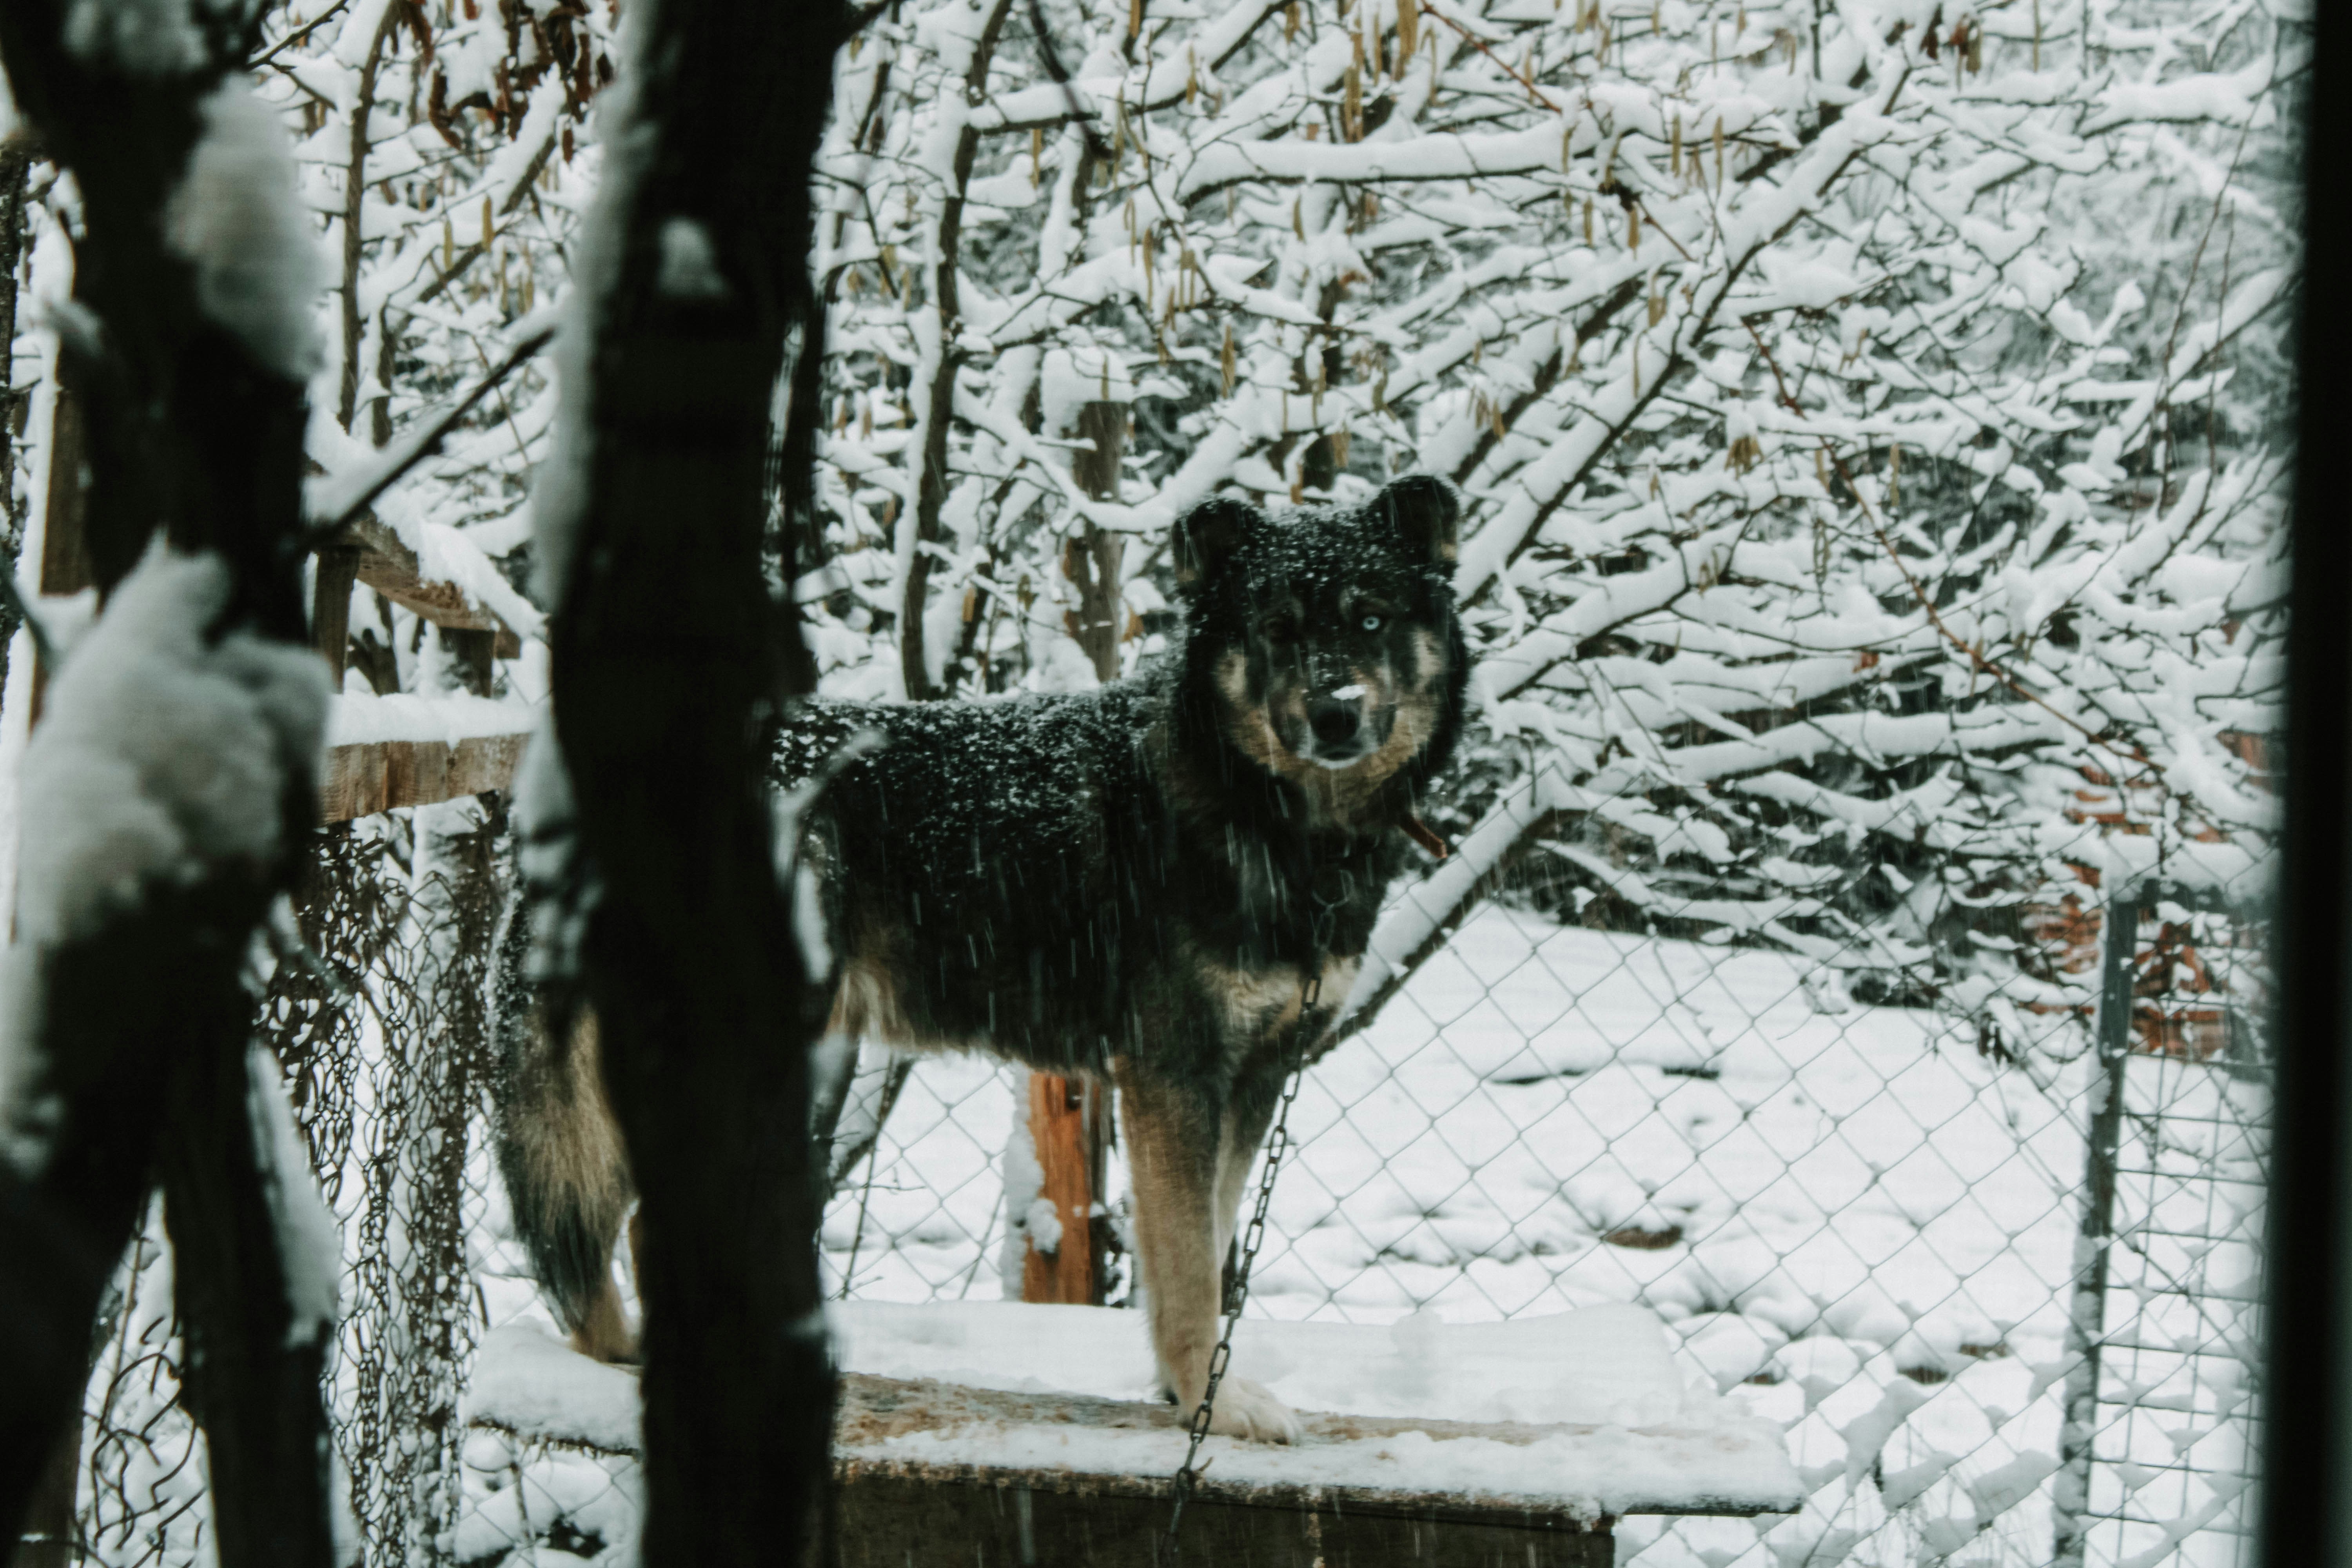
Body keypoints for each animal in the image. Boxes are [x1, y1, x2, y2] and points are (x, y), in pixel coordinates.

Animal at [496, 474, 1469, 1442]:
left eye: (1371, 618)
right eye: (1276, 627)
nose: (1335, 711)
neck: (1262, 813)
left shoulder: (1253, 1079)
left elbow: (1203, 1248)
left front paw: (1180, 1390)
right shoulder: (1175, 1077)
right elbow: (1194, 1269)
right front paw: (1212, 1404)